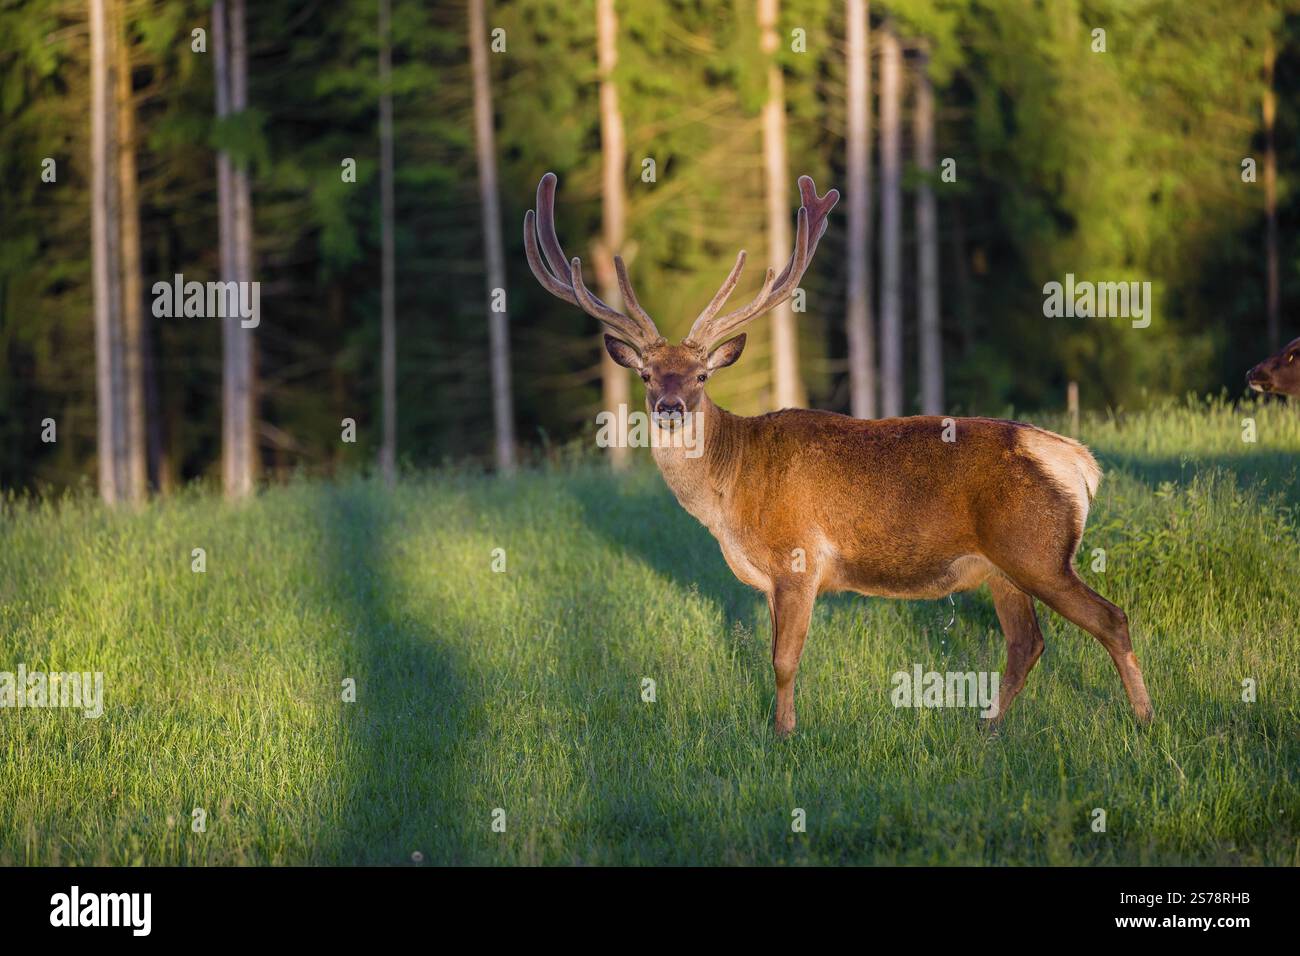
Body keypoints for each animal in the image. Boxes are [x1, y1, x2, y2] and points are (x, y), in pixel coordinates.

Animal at [524, 171, 1153, 737]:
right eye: (648, 375)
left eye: (702, 375)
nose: (671, 407)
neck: (728, 493)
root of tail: (1081, 464)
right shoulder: (770, 579)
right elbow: (774, 655)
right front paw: (779, 728)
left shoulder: (798, 557)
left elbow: (783, 660)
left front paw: (784, 735)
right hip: (1003, 568)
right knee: (1027, 642)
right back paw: (989, 725)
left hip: (1038, 551)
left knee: (1111, 619)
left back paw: (1145, 719)